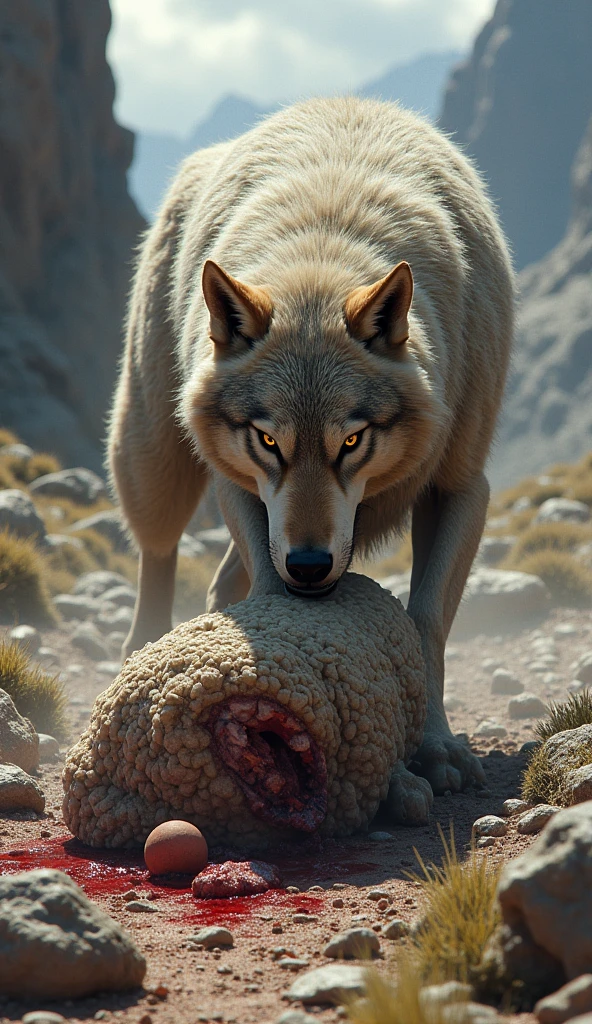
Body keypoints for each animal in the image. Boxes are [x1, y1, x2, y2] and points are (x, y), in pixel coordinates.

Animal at [108, 97, 514, 796]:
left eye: (351, 441)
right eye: (268, 440)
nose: (308, 565)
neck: (323, 247)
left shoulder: (460, 487)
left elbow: (427, 623)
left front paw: (436, 747)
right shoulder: (239, 482)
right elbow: (272, 595)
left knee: (223, 586)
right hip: (154, 461)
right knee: (158, 560)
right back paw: (141, 654)